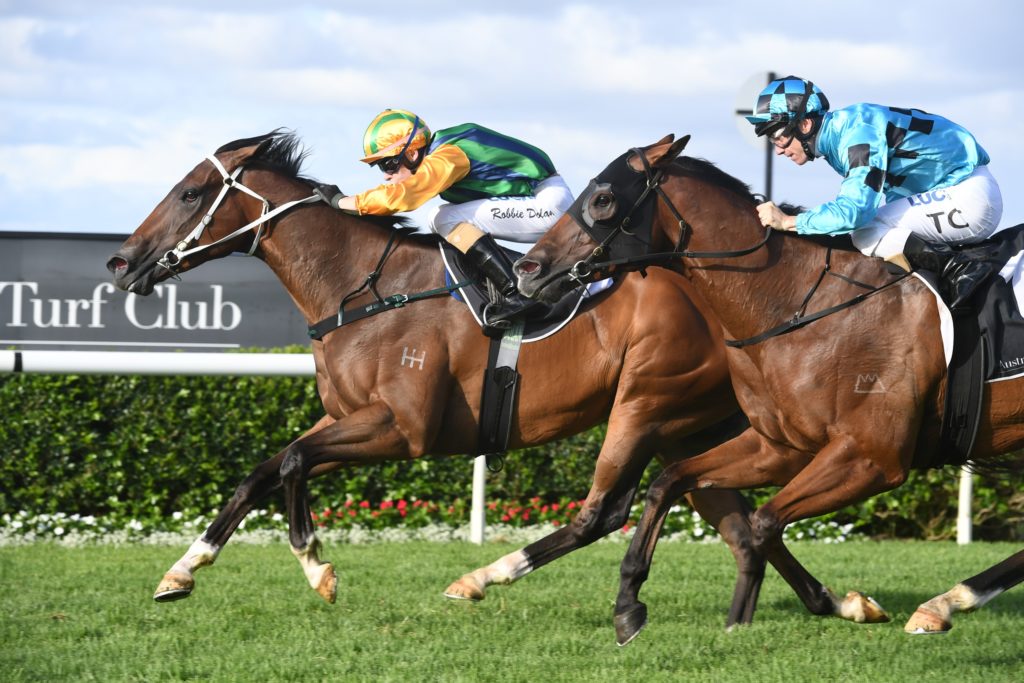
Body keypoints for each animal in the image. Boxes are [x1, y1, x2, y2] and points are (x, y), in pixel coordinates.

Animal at [105, 130, 883, 630]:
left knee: (608, 510)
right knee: (731, 511)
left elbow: (292, 462)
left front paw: (317, 567)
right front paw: (183, 570)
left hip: (647, 398)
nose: (122, 260)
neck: (363, 288)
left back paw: (484, 578)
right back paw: (839, 602)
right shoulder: (346, 416)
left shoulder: (404, 430)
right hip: (694, 420)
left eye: (191, 192)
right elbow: (262, 470)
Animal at [515, 134, 1024, 644]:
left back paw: (944, 603)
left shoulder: (873, 458)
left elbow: (762, 524)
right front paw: (628, 604)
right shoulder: (779, 446)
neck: (800, 302)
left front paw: (742, 619)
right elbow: (669, 483)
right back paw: (947, 602)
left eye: (602, 199)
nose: (527, 268)